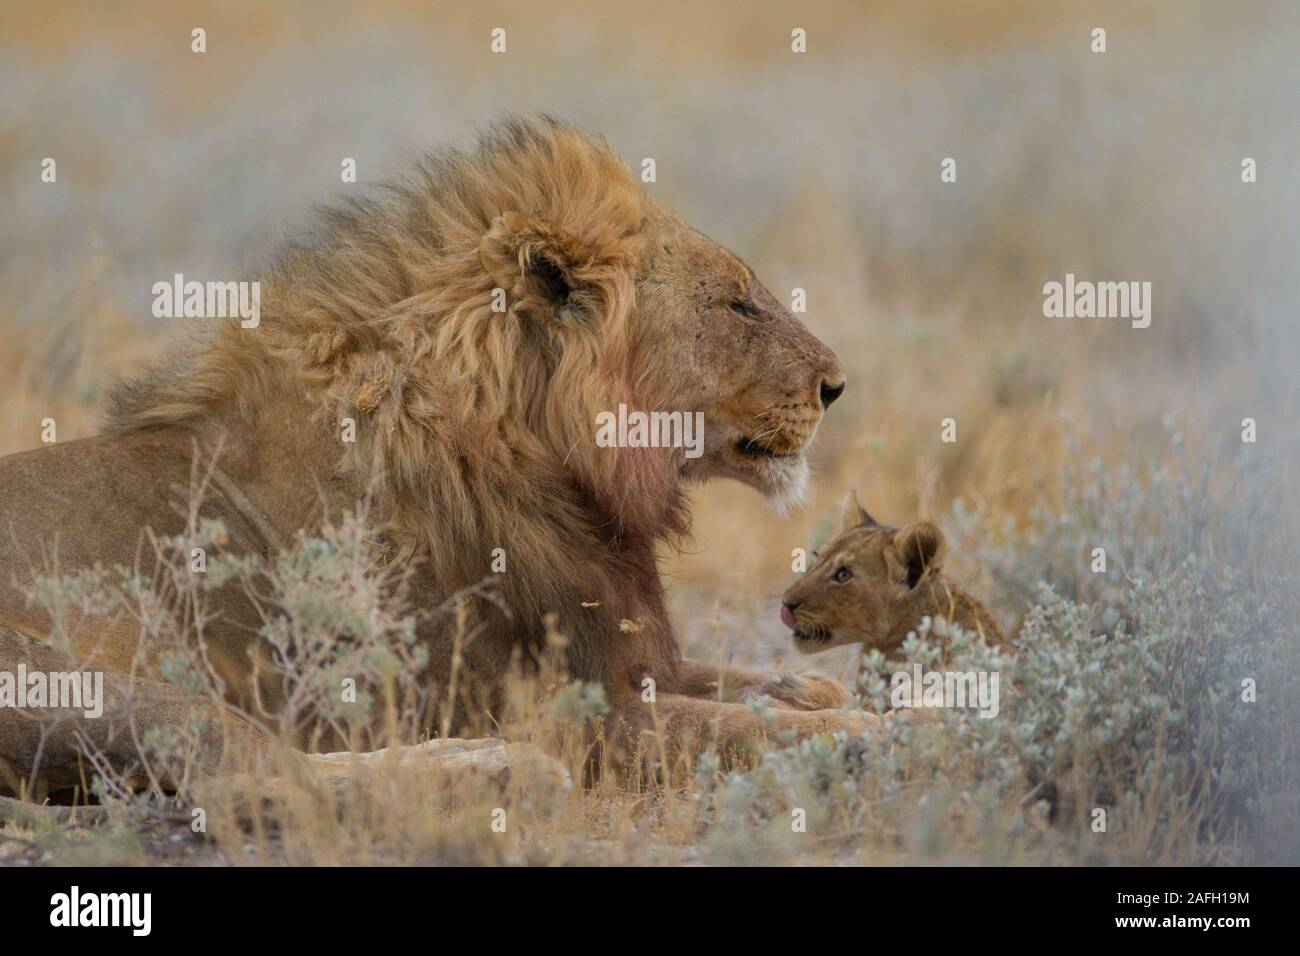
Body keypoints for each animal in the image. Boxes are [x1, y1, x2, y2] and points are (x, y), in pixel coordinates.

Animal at [0, 117, 869, 801]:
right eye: (738, 304)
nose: (836, 384)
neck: (537, 454)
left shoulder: (622, 657)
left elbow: (752, 685)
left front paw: (822, 688)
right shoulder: (566, 706)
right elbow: (749, 730)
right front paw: (875, 729)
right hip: (97, 684)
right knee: (258, 774)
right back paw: (503, 767)